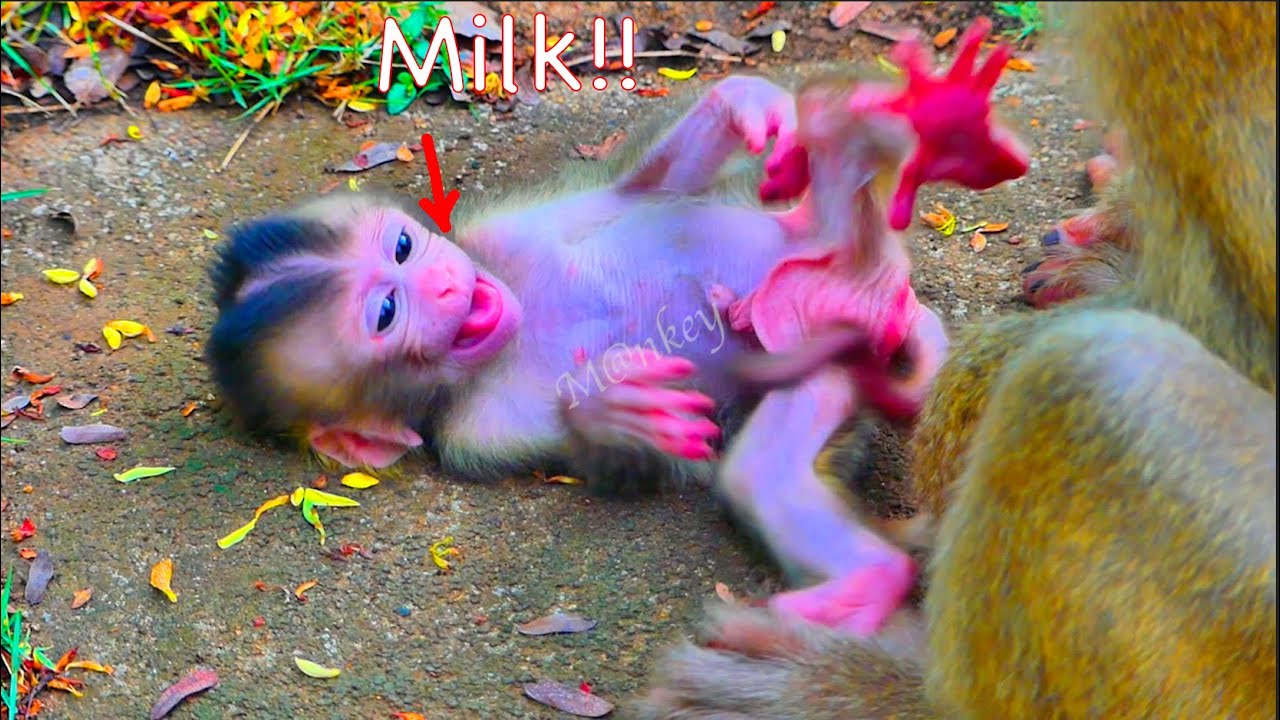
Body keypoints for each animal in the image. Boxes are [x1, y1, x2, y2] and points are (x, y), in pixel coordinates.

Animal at [206, 22, 1027, 633]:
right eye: (385, 311)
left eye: (405, 246)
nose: (443, 284)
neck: (515, 320)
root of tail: (878, 294)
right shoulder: (475, 430)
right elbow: (609, 450)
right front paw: (614, 407)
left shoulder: (497, 240)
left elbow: (643, 193)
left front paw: (740, 104)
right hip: (828, 364)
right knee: (765, 475)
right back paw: (869, 584)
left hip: (821, 227)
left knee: (835, 137)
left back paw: (942, 125)